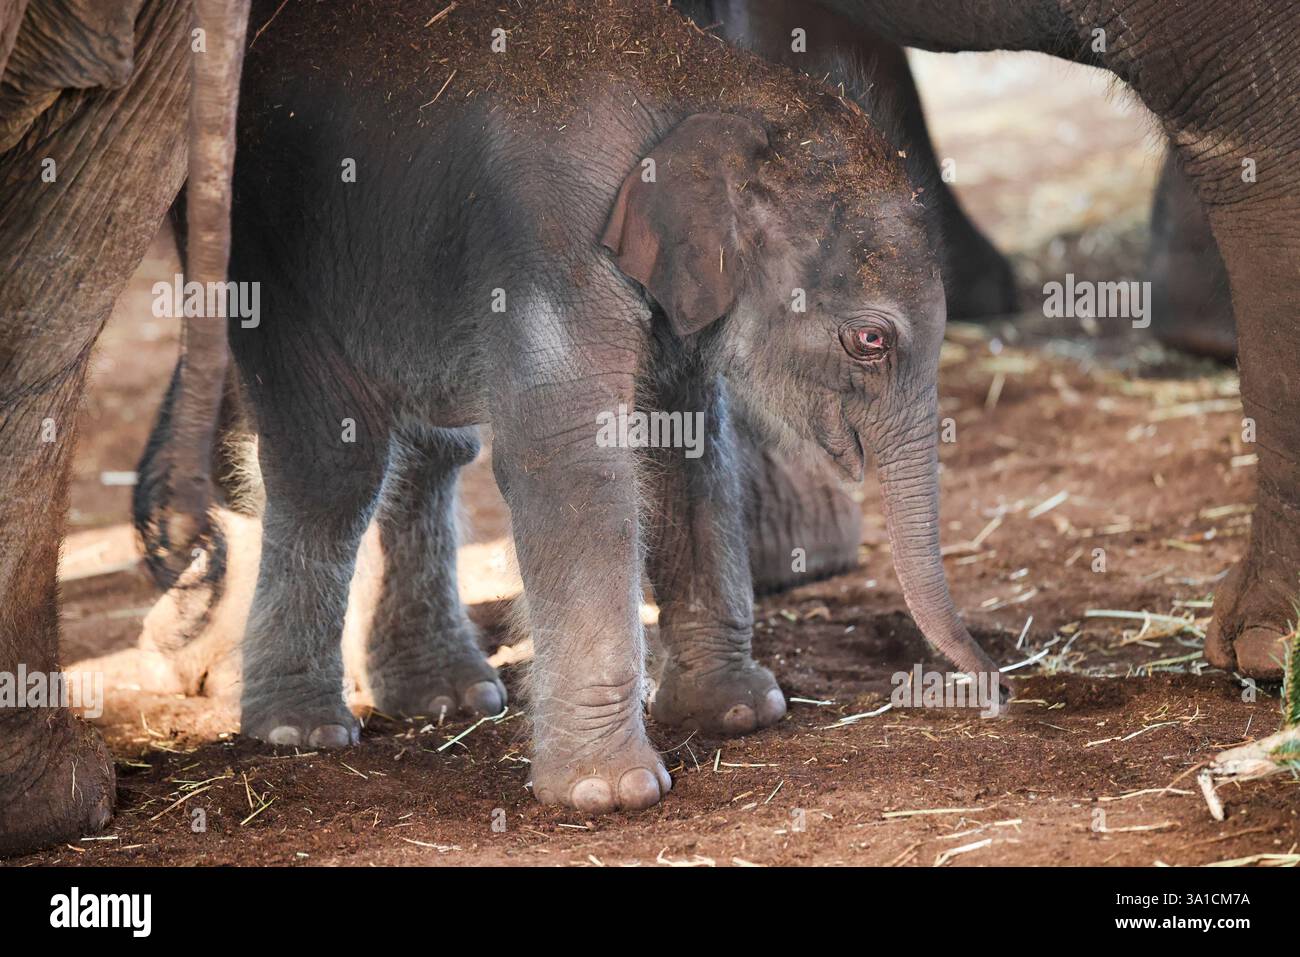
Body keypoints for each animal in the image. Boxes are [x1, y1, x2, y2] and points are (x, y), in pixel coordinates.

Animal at [140, 0, 1003, 814]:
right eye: (870, 339)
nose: (993, 686)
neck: (708, 84)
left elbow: (682, 441)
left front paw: (737, 713)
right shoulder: (551, 241)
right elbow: (570, 461)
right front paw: (611, 794)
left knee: (426, 447)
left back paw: (445, 695)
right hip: (263, 243)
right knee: (331, 458)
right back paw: (302, 728)